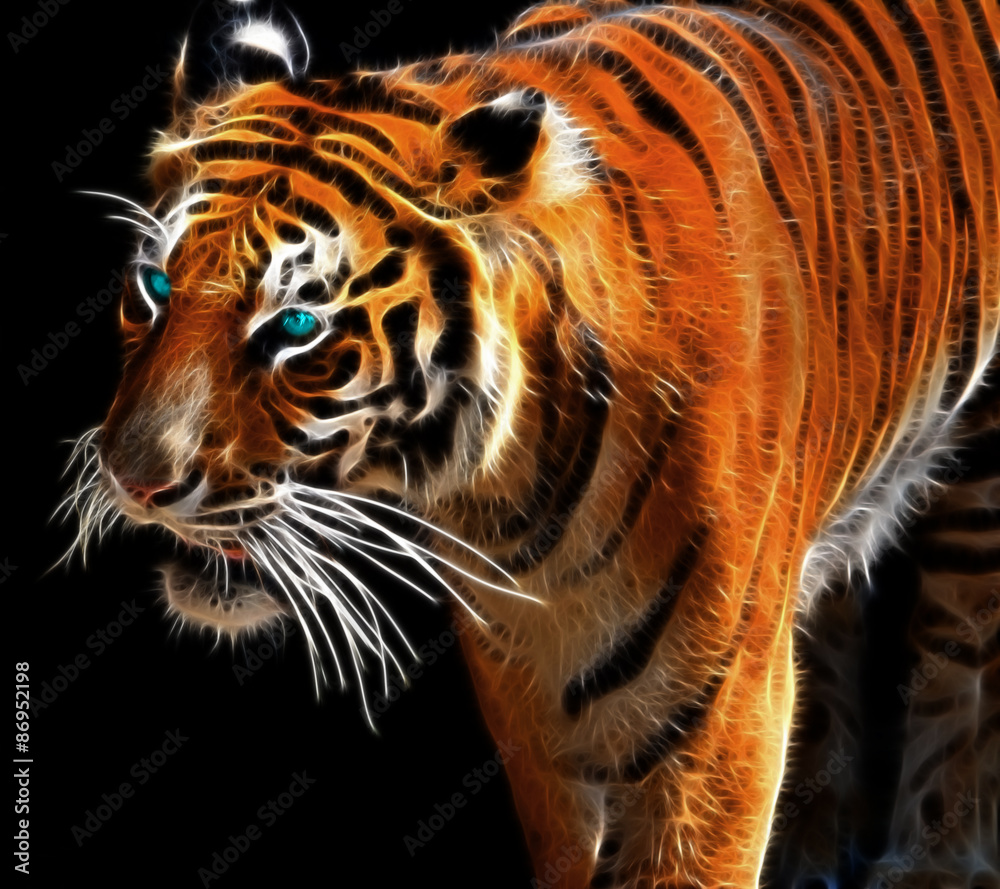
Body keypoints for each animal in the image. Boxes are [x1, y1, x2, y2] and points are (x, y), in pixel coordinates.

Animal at [63, 0, 999, 887]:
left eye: (295, 326)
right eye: (154, 287)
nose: (133, 481)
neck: (512, 501)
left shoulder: (722, 709)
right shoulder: (528, 705)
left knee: (961, 654)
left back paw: (942, 862)